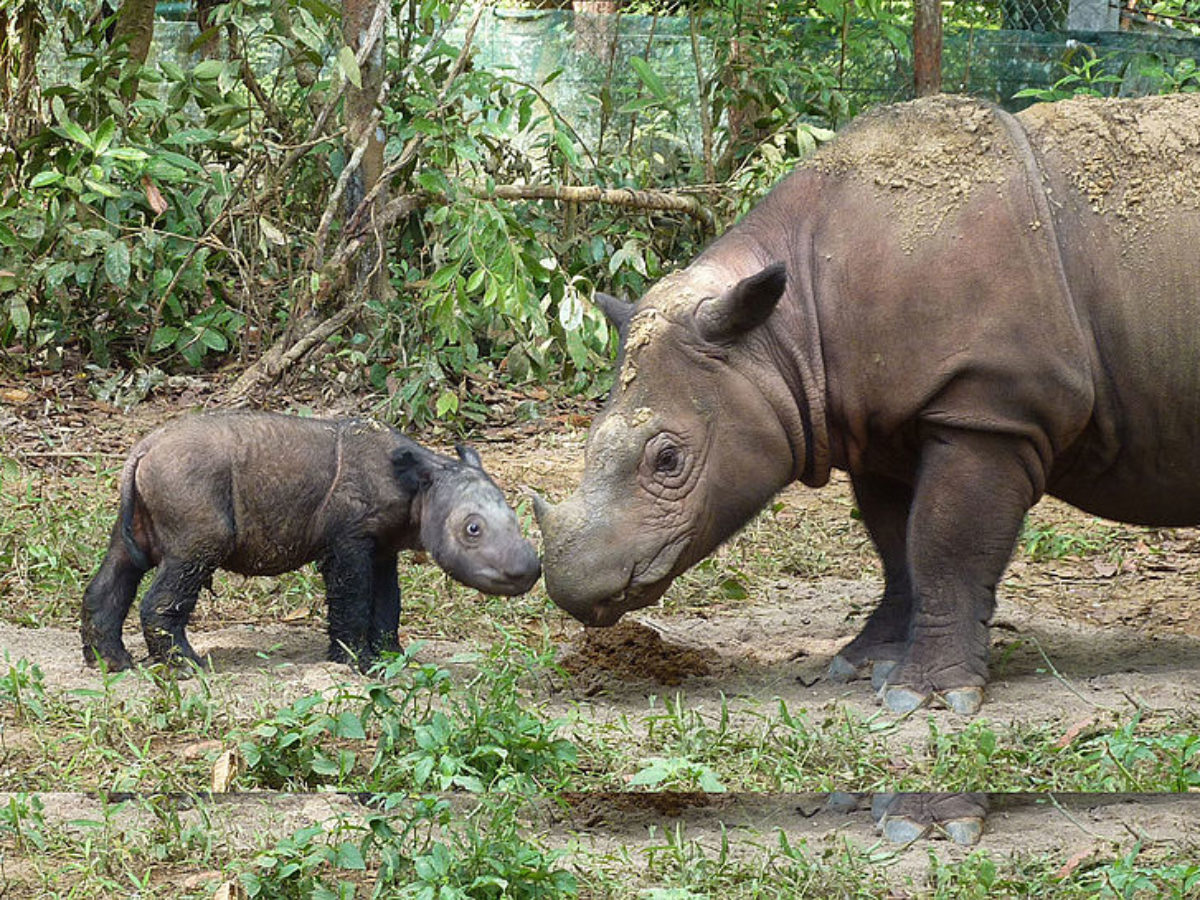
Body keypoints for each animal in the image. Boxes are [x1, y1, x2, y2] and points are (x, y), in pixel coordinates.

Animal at [82, 411, 540, 671]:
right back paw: (188, 668)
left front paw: (392, 658)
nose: (529, 570)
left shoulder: (382, 546)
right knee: (190, 558)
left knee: (122, 563)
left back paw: (111, 665)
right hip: (187, 482)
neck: (421, 485)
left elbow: (388, 601)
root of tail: (142, 449)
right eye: (472, 530)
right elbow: (353, 598)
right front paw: (358, 665)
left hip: (149, 491)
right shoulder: (349, 540)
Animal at [534, 94, 1200, 718]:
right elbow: (896, 545)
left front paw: (928, 697)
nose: (570, 588)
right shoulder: (880, 422)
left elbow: (946, 544)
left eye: (668, 460)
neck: (784, 331)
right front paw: (862, 664)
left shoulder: (991, 408)